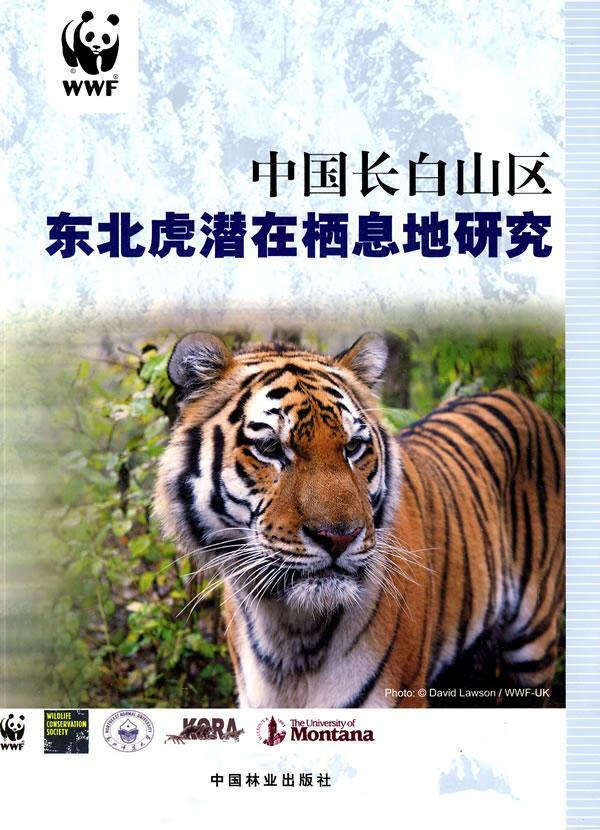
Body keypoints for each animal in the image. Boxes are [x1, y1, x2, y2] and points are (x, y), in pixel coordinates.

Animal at [154, 331, 565, 708]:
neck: (290, 631)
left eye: (352, 447)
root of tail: (519, 399)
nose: (339, 537)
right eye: (270, 448)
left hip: (533, 645)